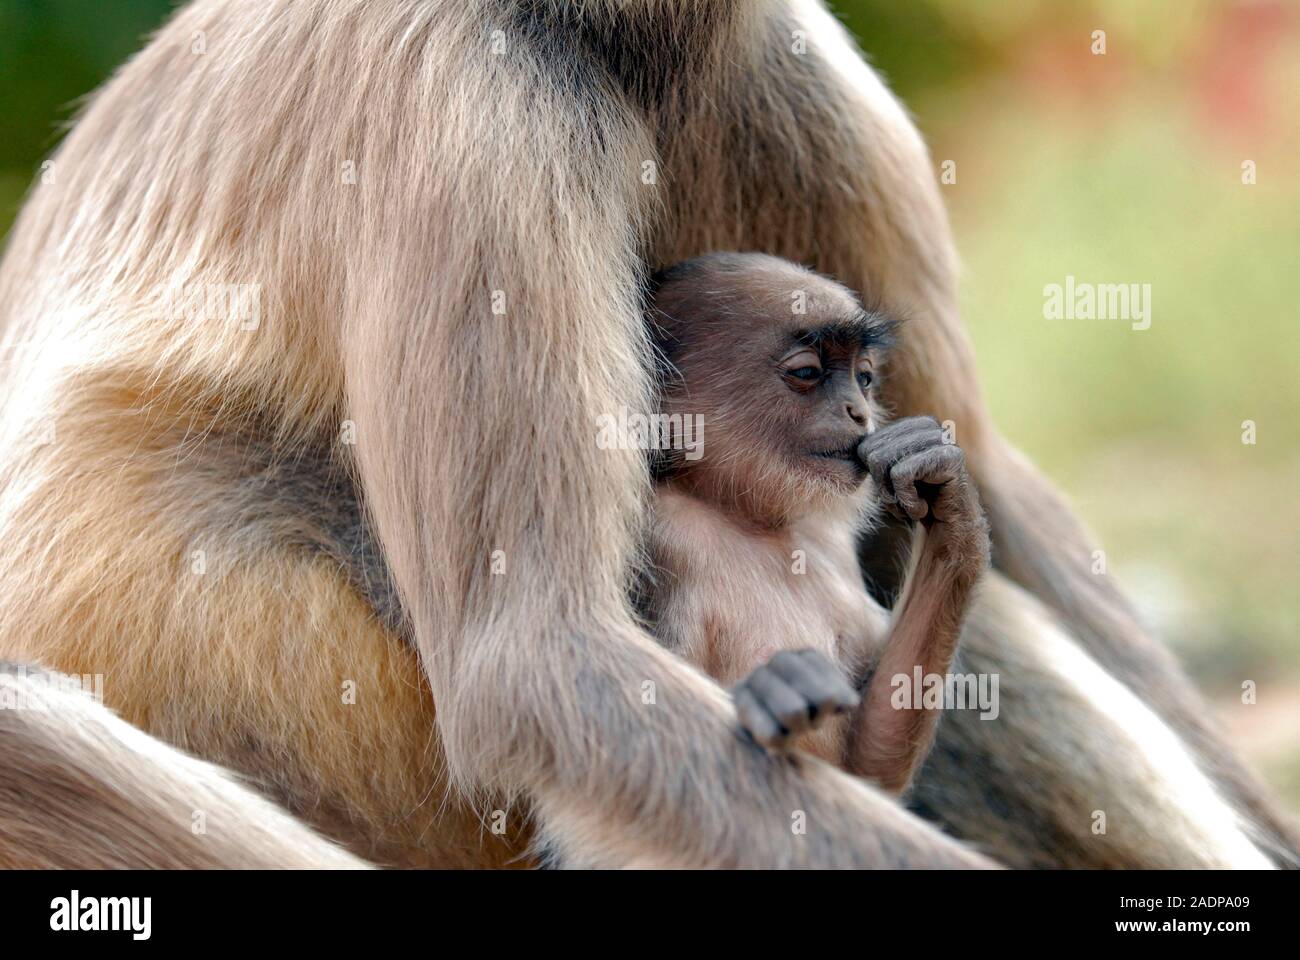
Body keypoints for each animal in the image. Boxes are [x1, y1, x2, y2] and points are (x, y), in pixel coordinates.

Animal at [639, 253, 989, 797]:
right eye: (807, 372)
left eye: (862, 378)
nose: (858, 412)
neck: (747, 519)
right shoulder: (660, 530)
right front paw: (771, 690)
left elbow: (868, 771)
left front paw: (949, 503)